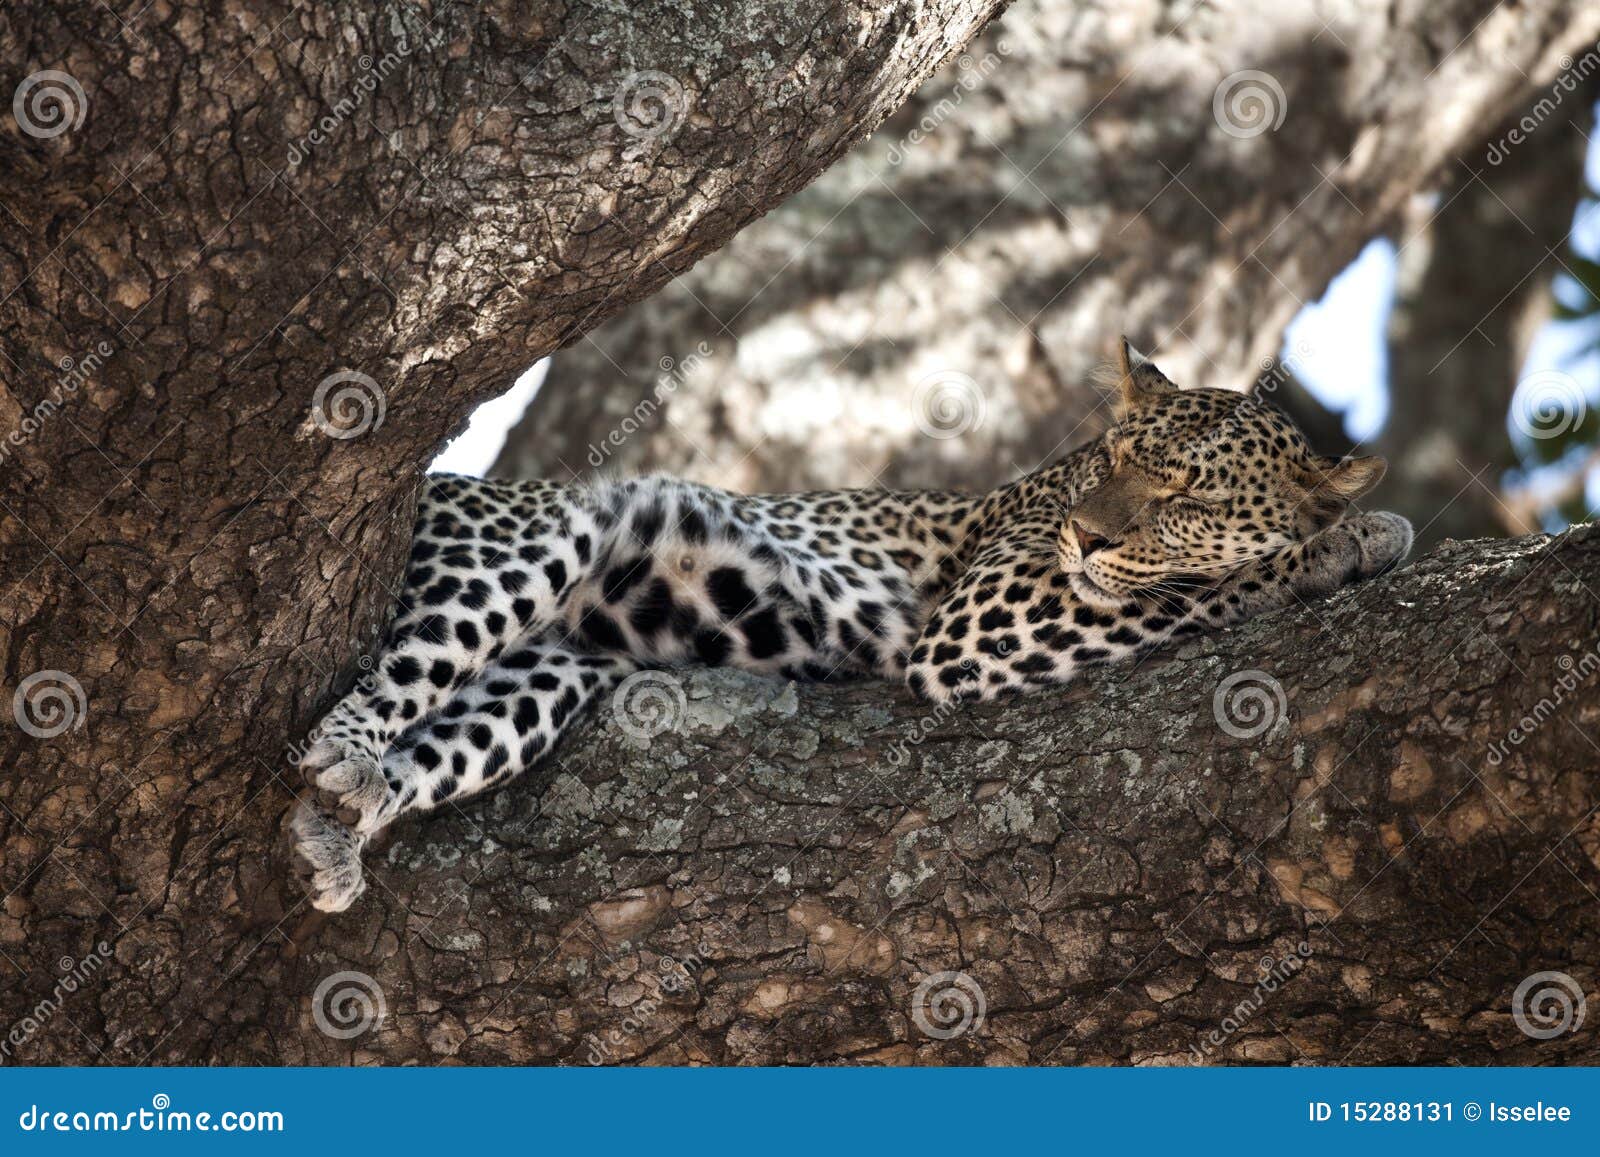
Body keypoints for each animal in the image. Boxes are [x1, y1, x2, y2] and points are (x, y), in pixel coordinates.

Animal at [289, 340, 1413, 912]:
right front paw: (1343, 540)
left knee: (443, 727)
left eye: (1188, 496)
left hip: (549, 671)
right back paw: (347, 753)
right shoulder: (980, 617)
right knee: (378, 685)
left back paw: (345, 817)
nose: (1087, 535)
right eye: (1115, 458)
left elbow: (1173, 576)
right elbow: (1180, 588)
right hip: (535, 533)